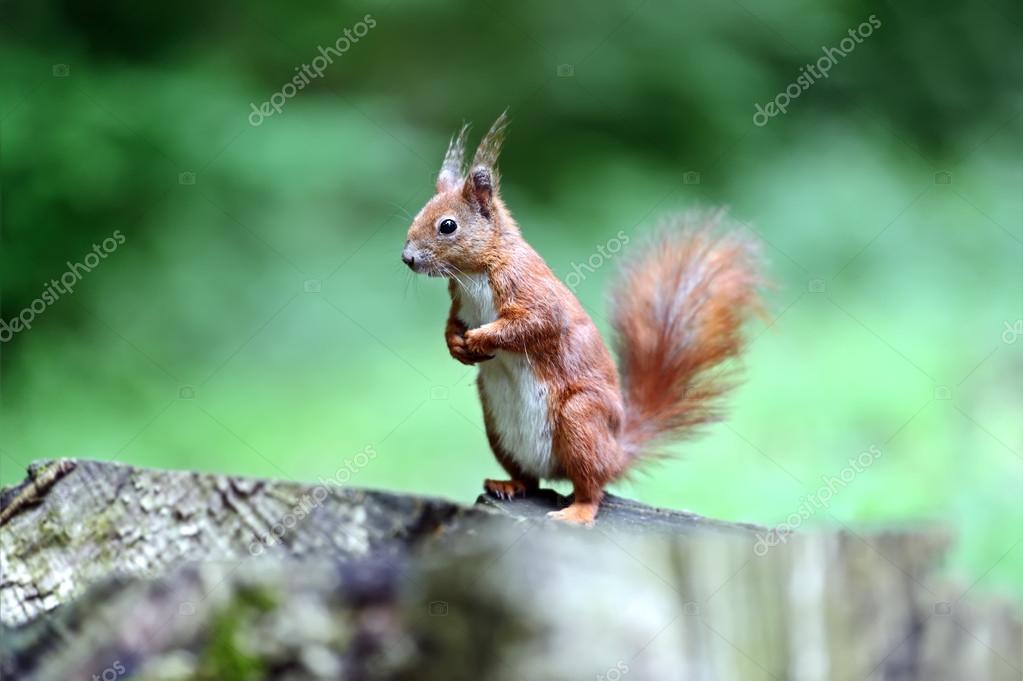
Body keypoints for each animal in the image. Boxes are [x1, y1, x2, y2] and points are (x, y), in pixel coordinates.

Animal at [401, 112, 764, 525]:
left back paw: (575, 512)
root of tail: (615, 453)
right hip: (497, 427)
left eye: (448, 225)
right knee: (531, 480)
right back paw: (508, 485)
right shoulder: (459, 303)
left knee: (592, 488)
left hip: (581, 421)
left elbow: (533, 324)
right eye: (419, 214)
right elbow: (451, 325)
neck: (474, 273)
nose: (407, 257)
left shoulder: (531, 291)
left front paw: (479, 339)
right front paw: (456, 345)